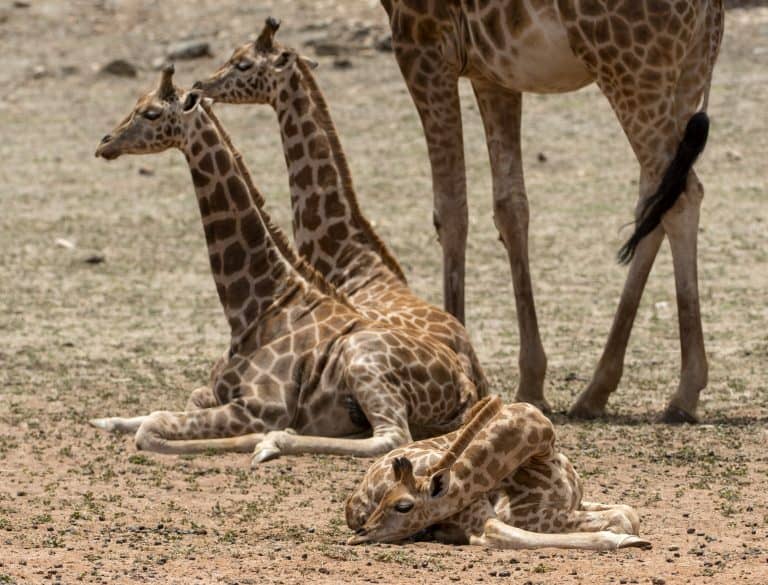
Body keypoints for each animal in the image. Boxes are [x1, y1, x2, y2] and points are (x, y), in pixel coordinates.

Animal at [91, 66, 481, 464]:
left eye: (151, 113)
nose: (105, 143)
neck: (257, 306)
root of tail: (465, 383)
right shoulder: (218, 392)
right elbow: (170, 407)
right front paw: (108, 420)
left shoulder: (262, 407)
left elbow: (153, 426)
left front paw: (265, 438)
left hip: (363, 359)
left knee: (392, 438)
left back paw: (274, 441)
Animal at [346, 395, 651, 550]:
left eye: (403, 506)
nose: (361, 533)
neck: (541, 449)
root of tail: (353, 507)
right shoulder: (531, 516)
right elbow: (623, 518)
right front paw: (627, 537)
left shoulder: (577, 502)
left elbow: (628, 511)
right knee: (490, 533)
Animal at [380, 0, 723, 422]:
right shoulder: (492, 73)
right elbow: (510, 206)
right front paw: (530, 383)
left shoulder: (420, 41)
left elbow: (450, 209)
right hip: (688, 70)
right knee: (655, 198)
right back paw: (595, 390)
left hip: (632, 68)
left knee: (681, 195)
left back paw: (683, 393)